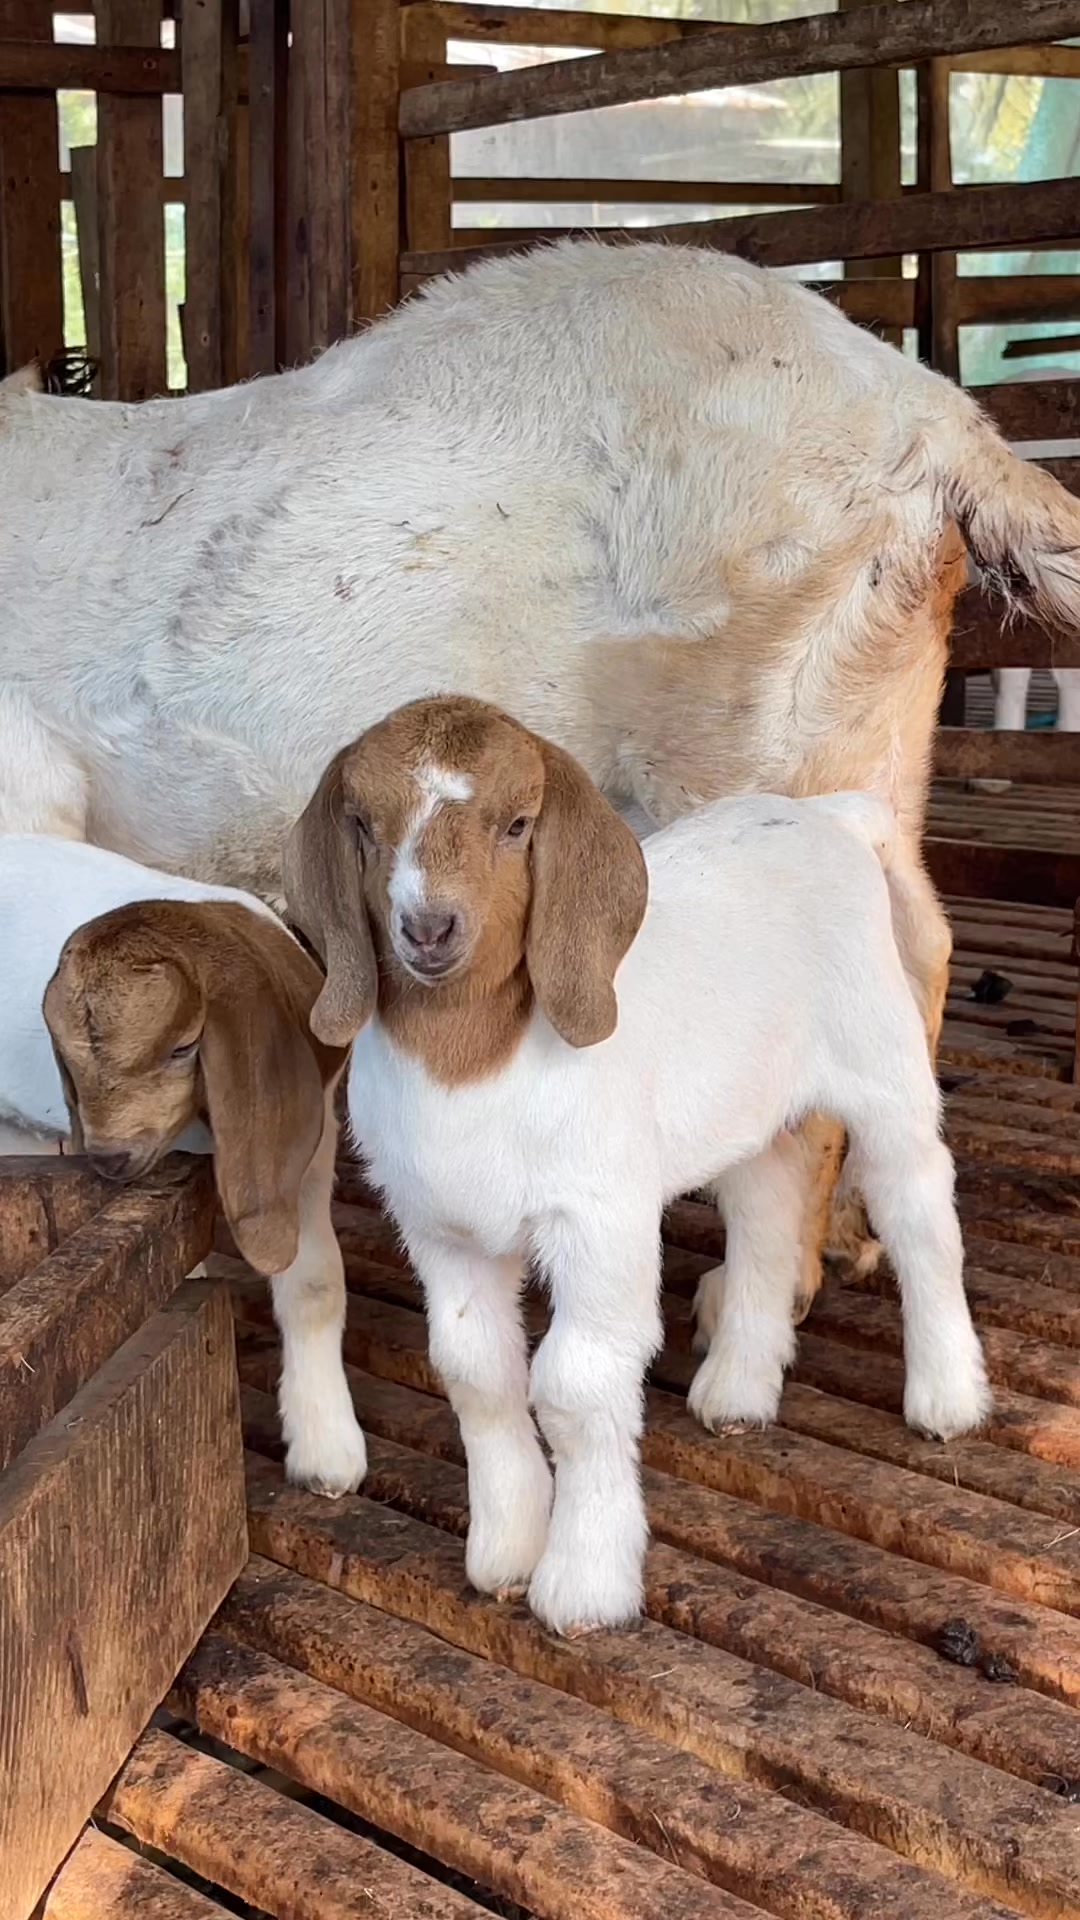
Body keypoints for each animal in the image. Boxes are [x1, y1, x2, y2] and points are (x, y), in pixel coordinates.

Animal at [0, 834, 367, 1498]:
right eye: (66, 1060)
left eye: (182, 1048)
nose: (110, 1156)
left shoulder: (309, 1133)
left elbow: (313, 1278)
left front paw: (327, 1451)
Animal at [4, 243, 1080, 1320]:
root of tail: (934, 419)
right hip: (865, 722)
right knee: (917, 938)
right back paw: (861, 1235)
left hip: (753, 733)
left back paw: (766, 1289)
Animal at [284, 696, 990, 1636]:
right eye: (363, 823)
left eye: (518, 824)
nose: (429, 930)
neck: (472, 1060)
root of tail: (830, 817)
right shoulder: (442, 1228)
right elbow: (477, 1374)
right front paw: (506, 1551)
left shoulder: (598, 1218)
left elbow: (575, 1384)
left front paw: (584, 1586)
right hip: (748, 1101)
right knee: (767, 1209)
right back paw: (738, 1391)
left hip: (881, 1057)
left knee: (918, 1207)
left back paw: (948, 1399)